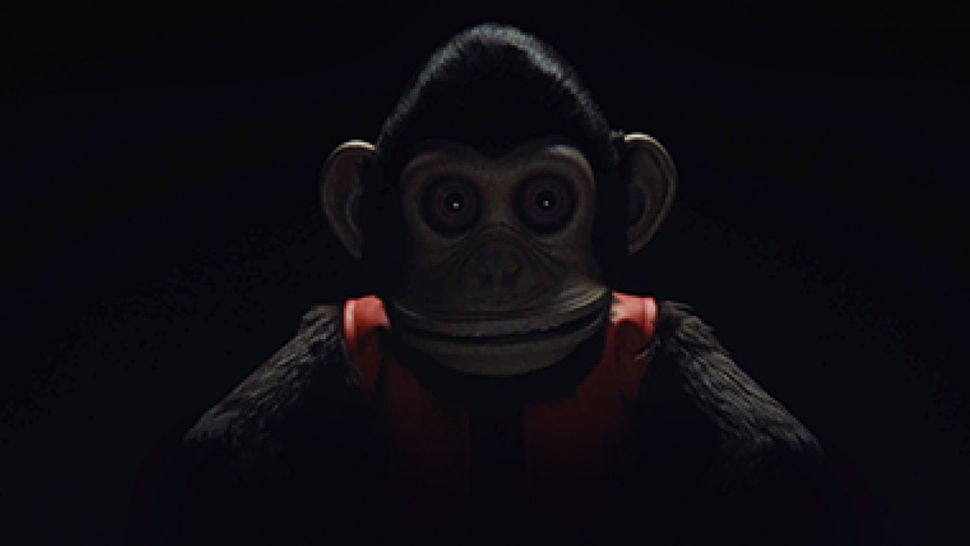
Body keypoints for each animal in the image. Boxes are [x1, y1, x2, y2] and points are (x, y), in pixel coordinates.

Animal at [173, 24, 829, 546]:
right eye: (452, 204)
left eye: (546, 201)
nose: (496, 272)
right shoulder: (344, 329)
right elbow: (227, 441)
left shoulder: (660, 326)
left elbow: (775, 450)